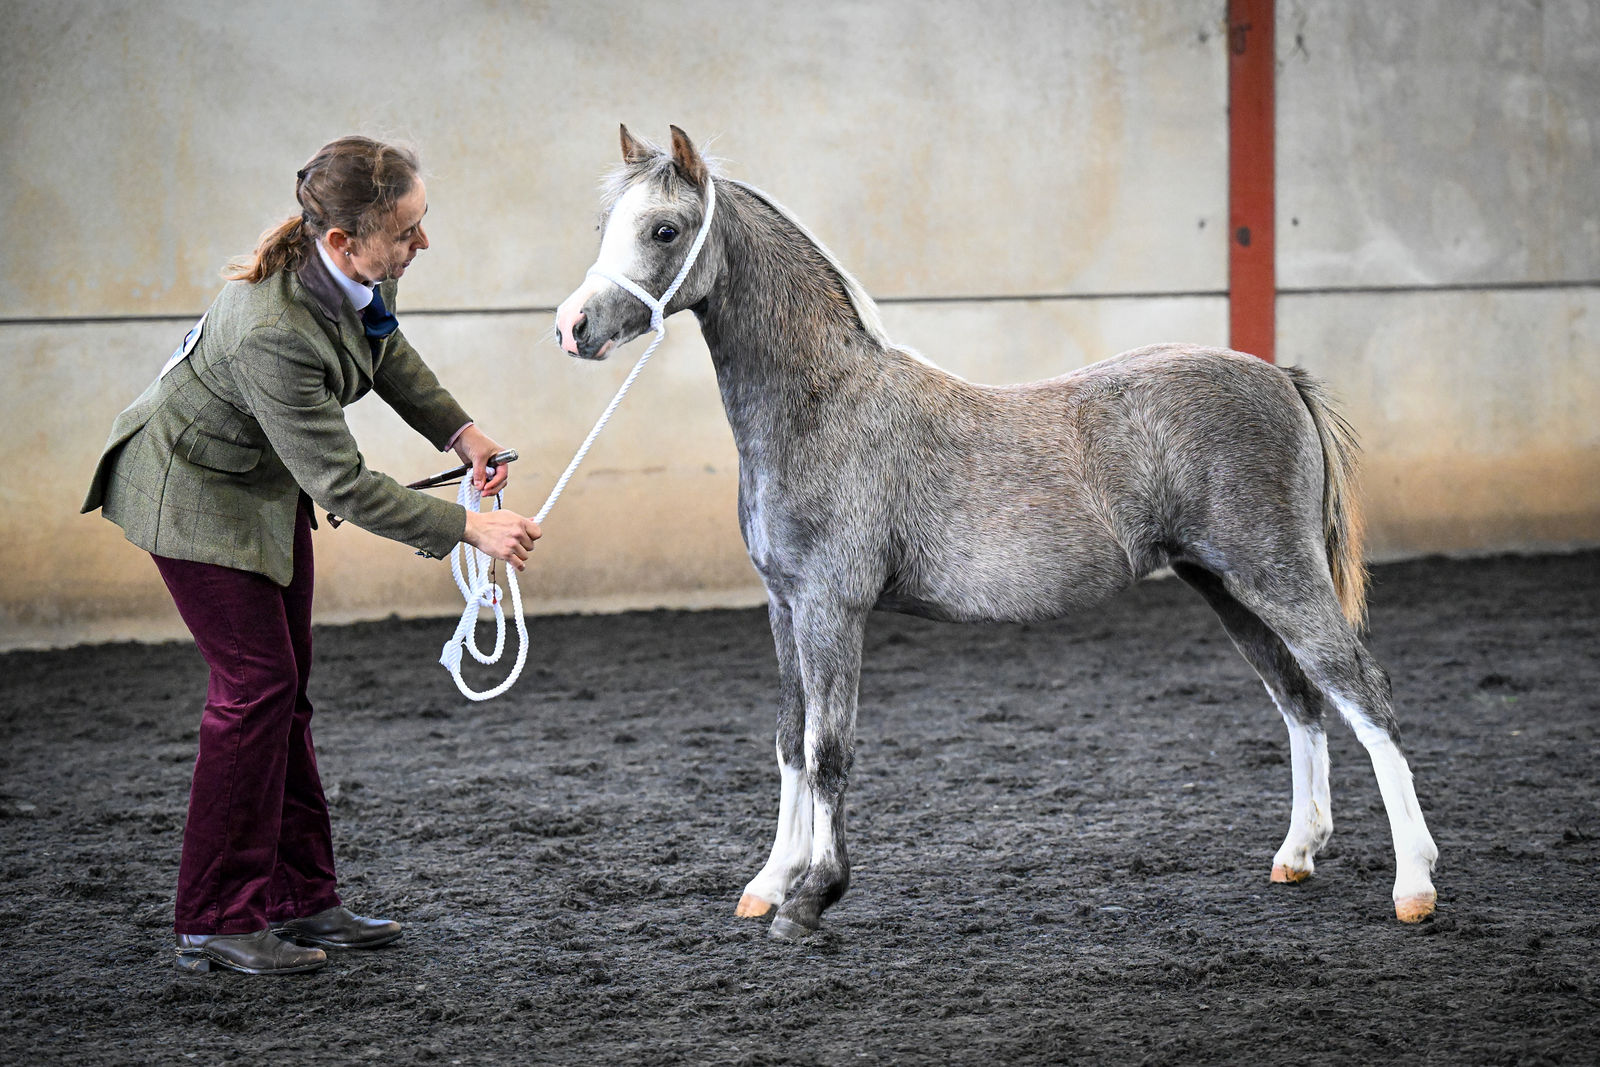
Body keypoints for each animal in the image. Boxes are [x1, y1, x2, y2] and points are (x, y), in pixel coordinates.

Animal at [554, 125, 1439, 941]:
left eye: (664, 229)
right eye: (606, 221)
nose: (572, 326)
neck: (822, 404)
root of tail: (1280, 377)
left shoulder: (833, 608)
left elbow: (829, 747)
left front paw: (811, 897)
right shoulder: (784, 606)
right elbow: (788, 743)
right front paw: (770, 882)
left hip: (1276, 574)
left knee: (1361, 693)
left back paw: (1414, 885)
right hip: (1224, 585)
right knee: (1300, 699)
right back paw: (1297, 854)